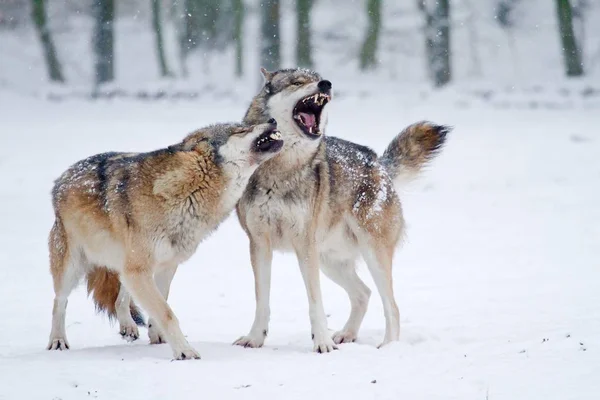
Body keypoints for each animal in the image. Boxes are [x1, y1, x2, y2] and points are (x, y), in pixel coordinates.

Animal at [45, 119, 284, 360]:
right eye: (241, 129)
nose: (272, 120)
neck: (187, 191)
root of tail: (62, 178)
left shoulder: (165, 265)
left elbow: (161, 304)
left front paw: (157, 335)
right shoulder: (140, 269)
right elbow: (167, 313)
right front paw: (184, 351)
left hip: (128, 266)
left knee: (121, 297)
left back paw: (128, 326)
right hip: (72, 267)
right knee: (59, 301)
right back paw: (57, 340)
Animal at [232, 69, 448, 354]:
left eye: (317, 77)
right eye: (298, 82)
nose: (326, 84)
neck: (282, 168)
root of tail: (379, 163)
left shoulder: (305, 247)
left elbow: (315, 303)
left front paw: (322, 343)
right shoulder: (258, 244)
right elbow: (262, 301)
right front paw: (255, 339)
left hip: (371, 255)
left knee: (392, 306)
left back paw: (388, 346)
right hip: (329, 262)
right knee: (363, 294)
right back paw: (347, 334)